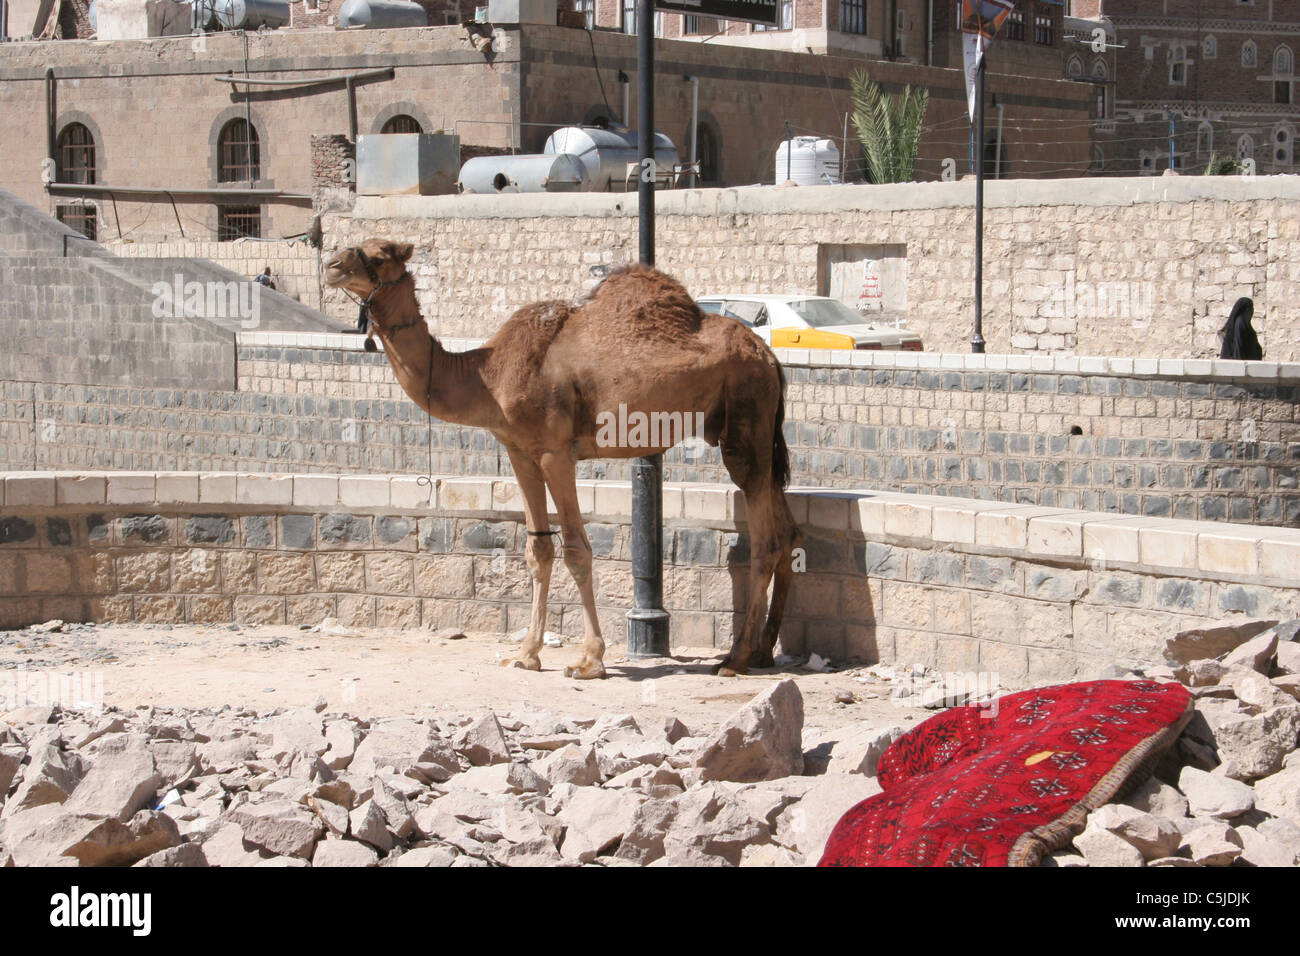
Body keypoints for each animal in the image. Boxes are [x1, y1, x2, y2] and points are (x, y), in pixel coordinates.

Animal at [324, 238, 801, 679]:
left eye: (379, 254)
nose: (331, 264)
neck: (487, 375)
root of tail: (769, 356)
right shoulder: (518, 450)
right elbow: (538, 548)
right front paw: (526, 654)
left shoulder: (556, 452)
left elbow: (576, 548)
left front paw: (590, 660)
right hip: (759, 428)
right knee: (786, 529)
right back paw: (763, 651)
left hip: (745, 419)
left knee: (764, 537)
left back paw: (736, 658)